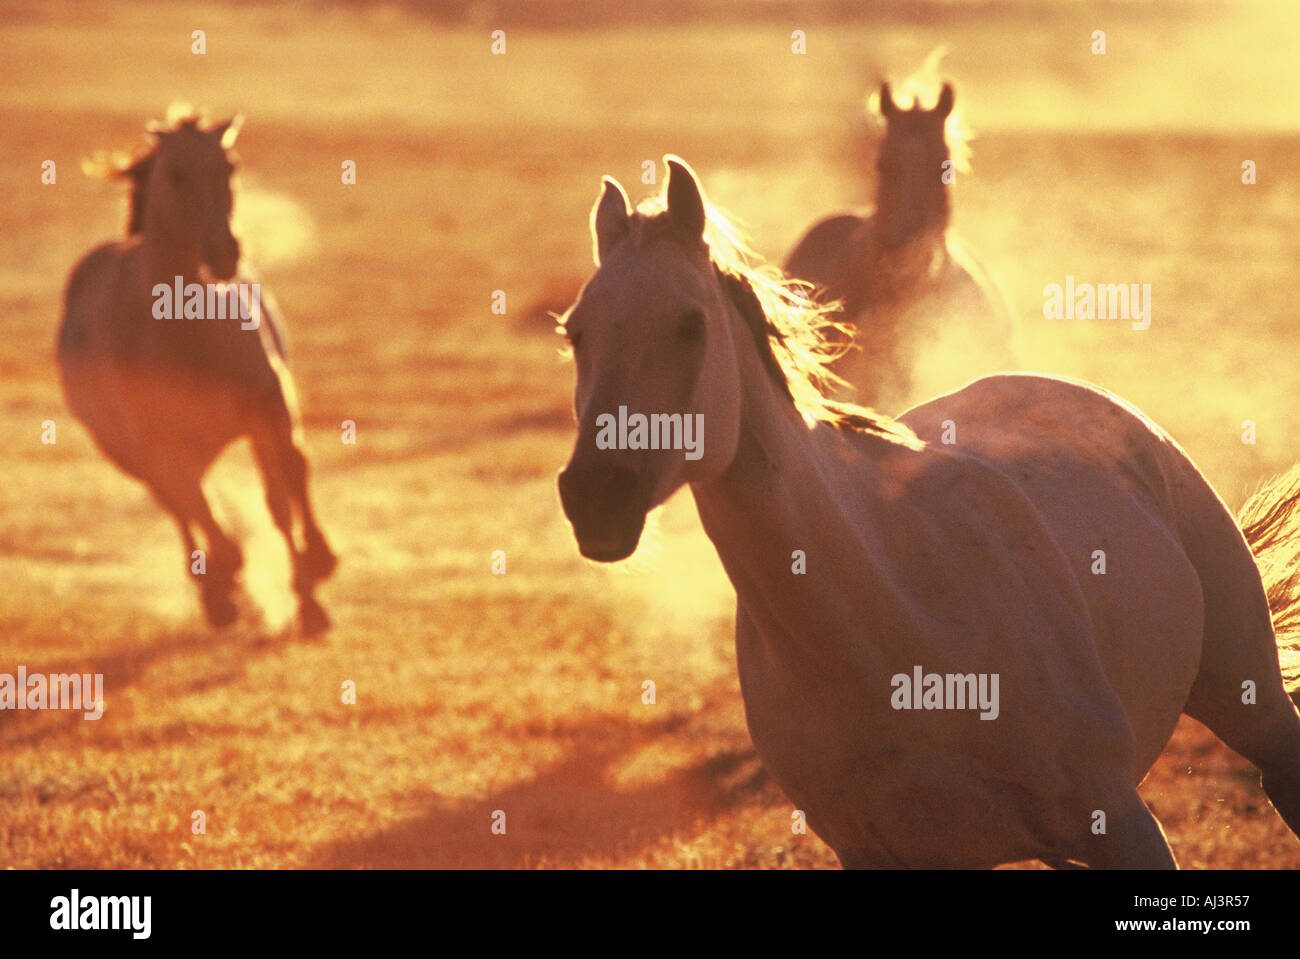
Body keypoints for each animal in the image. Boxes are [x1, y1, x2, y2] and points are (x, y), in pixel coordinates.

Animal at [57, 113, 338, 636]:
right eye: (176, 175)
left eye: (231, 166)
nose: (225, 252)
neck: (189, 332)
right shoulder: (161, 446)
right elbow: (202, 514)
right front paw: (226, 580)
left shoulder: (268, 406)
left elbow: (289, 483)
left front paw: (316, 577)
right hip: (132, 454)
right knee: (178, 509)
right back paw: (218, 597)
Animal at [556, 156, 1300, 868]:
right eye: (576, 333)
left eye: (690, 324)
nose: (594, 495)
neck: (891, 630)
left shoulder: (1119, 821)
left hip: (1254, 705)